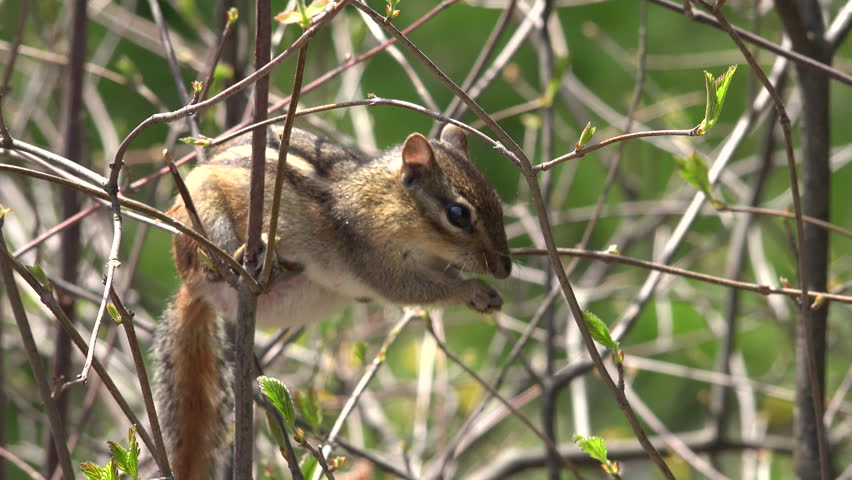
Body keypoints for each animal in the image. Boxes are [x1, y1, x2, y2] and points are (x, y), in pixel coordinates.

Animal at [153, 123, 512, 480]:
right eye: (458, 214)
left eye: (498, 201)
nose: (505, 270)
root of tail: (193, 288)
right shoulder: (372, 256)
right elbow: (412, 290)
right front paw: (473, 291)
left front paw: (488, 295)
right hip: (204, 216)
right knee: (210, 266)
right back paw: (240, 259)